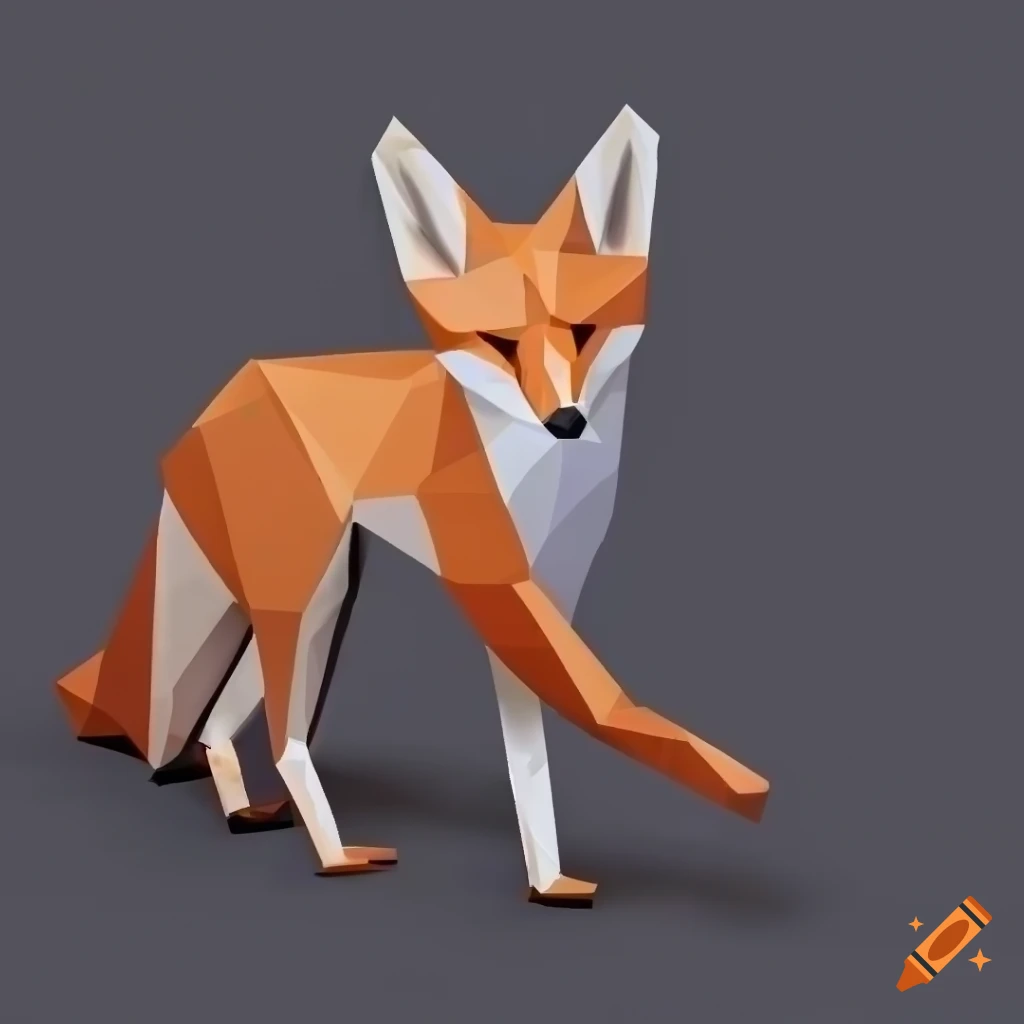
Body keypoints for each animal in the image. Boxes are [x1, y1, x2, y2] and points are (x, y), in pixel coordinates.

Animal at [55, 104, 770, 908]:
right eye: (497, 343)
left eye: (584, 332)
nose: (565, 421)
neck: (545, 483)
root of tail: (224, 397)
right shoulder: (498, 586)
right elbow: (604, 706)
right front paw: (730, 781)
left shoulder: (543, 601)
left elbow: (531, 762)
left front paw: (548, 878)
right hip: (296, 596)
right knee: (284, 739)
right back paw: (335, 854)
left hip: (324, 595)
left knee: (218, 725)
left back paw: (245, 811)